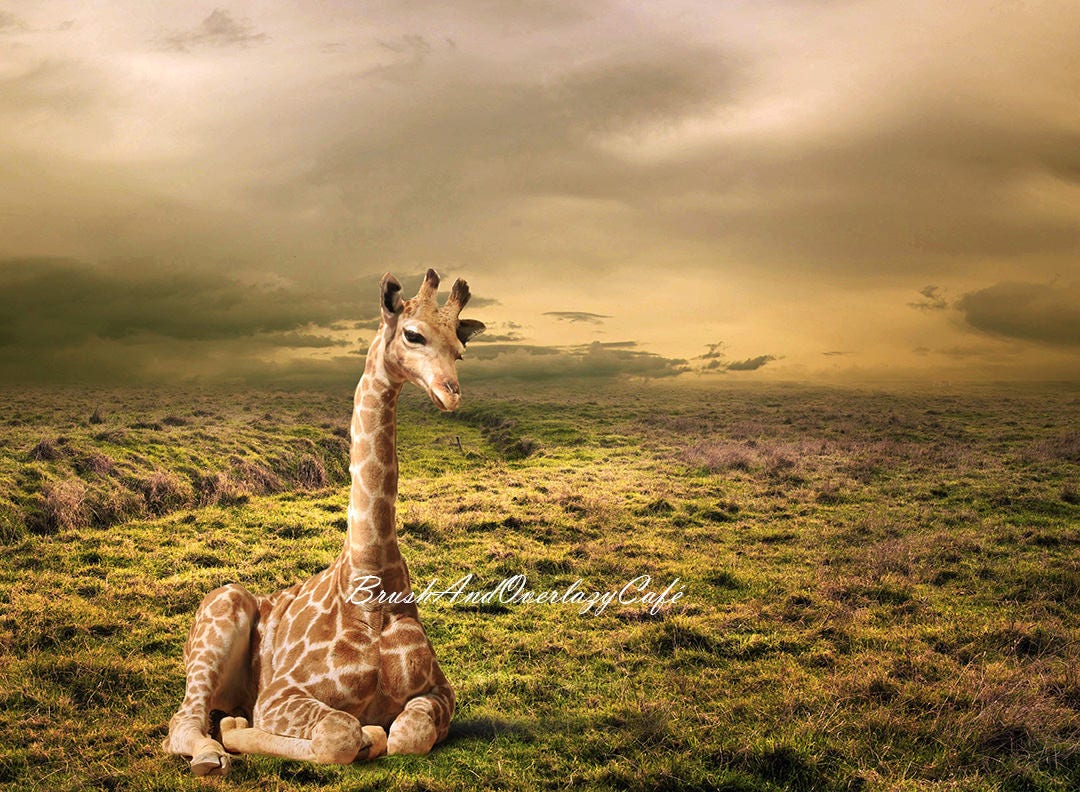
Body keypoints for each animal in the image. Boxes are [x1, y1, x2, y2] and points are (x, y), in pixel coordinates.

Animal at [162, 269, 485, 776]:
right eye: (413, 335)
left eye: (460, 349)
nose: (450, 392)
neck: (371, 583)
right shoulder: (280, 696)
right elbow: (341, 734)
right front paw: (366, 736)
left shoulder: (439, 691)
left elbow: (408, 735)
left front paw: (383, 735)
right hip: (220, 609)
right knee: (184, 723)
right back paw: (214, 749)